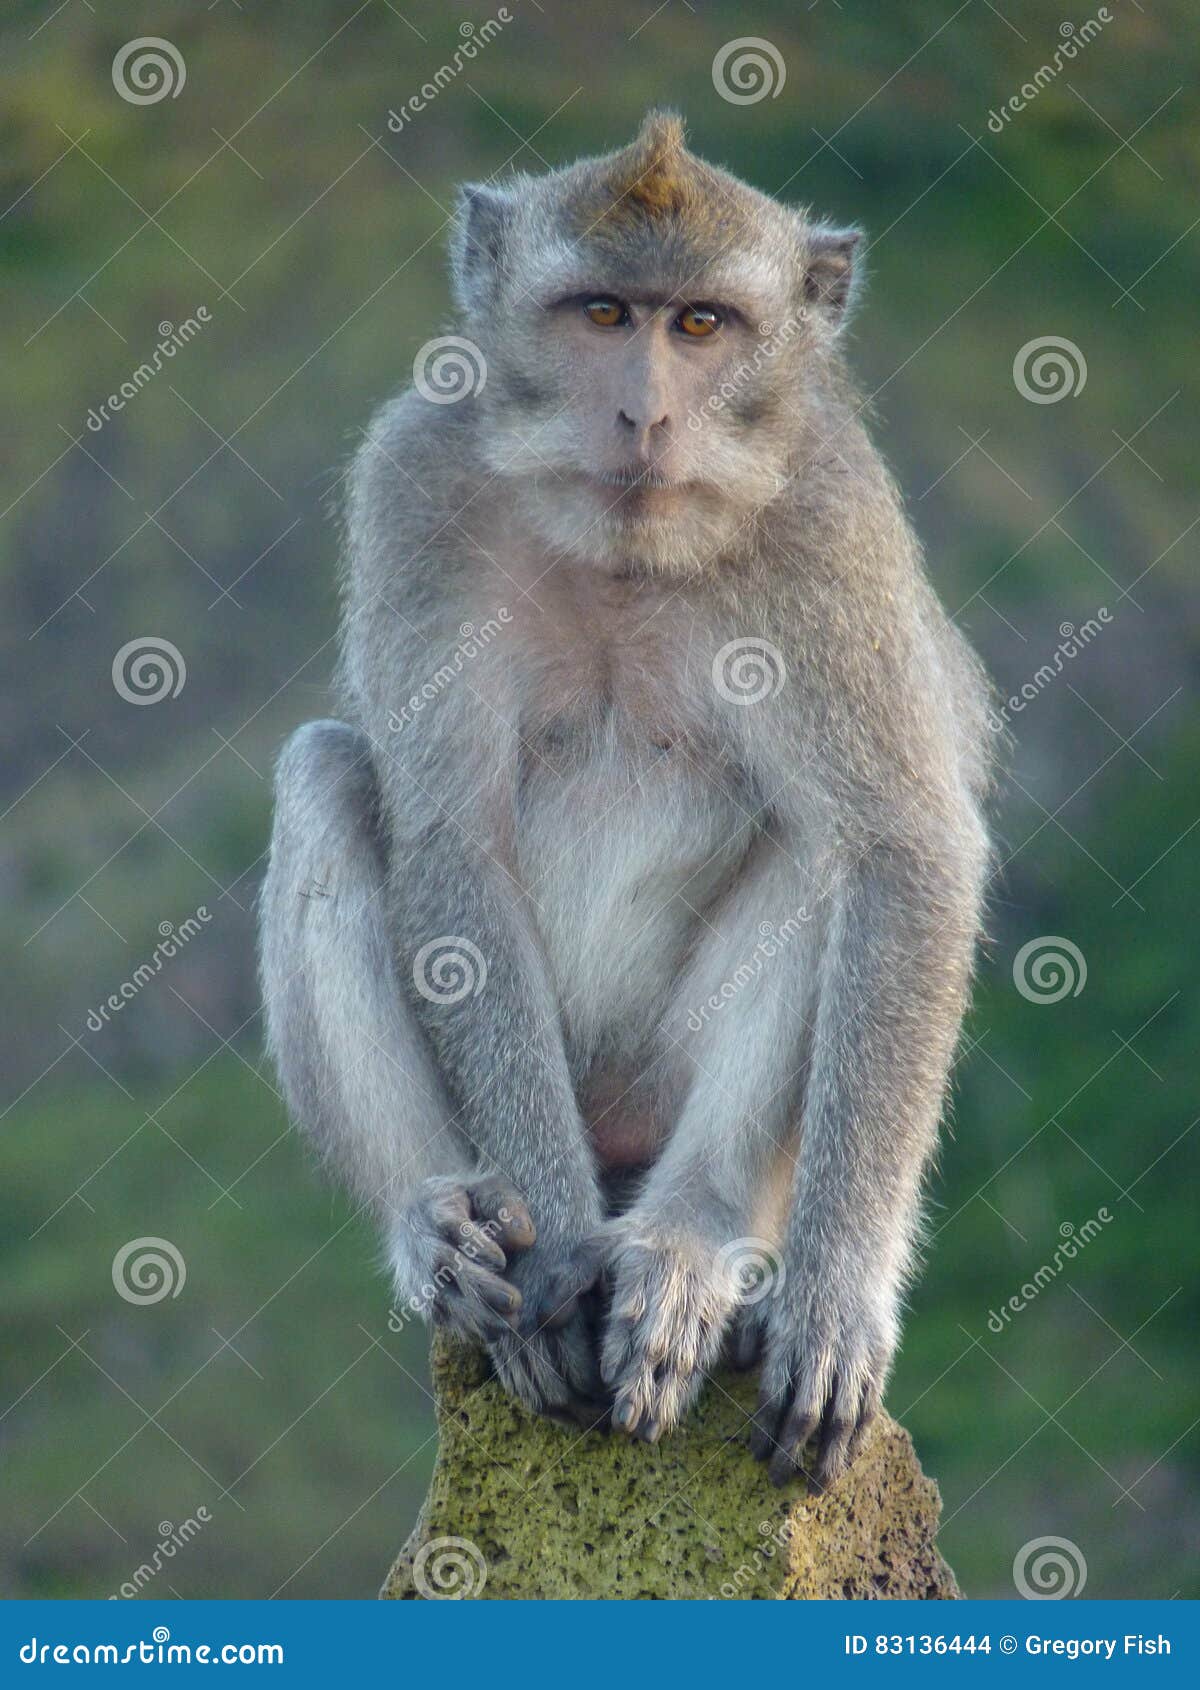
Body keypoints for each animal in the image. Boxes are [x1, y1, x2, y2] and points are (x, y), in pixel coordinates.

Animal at [259, 111, 992, 1492]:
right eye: (602, 313)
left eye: (701, 324)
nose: (643, 412)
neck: (626, 545)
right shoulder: (416, 480)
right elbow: (453, 841)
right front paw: (548, 1264)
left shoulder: (830, 517)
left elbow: (904, 852)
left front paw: (836, 1299)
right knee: (326, 776)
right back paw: (442, 1224)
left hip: (670, 1109)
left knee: (823, 851)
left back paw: (690, 1242)